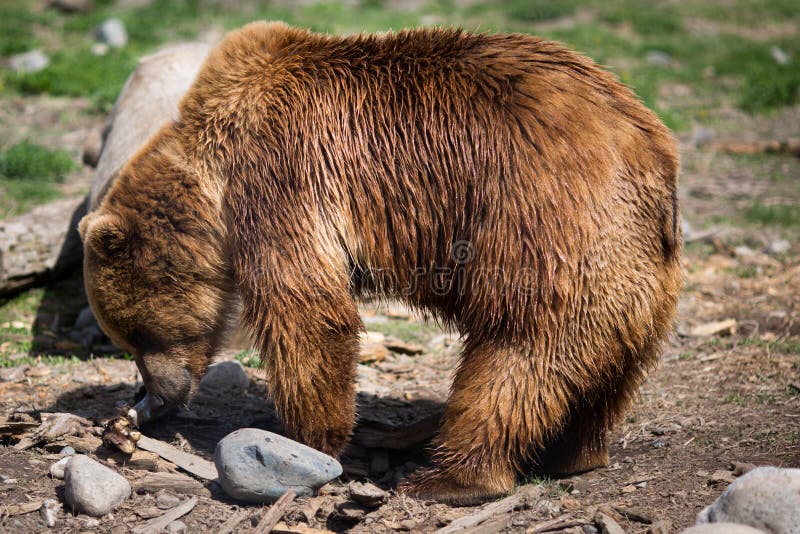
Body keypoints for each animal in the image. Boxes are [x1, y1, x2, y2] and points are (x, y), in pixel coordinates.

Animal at [79, 21, 682, 505]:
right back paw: (574, 453)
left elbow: (309, 311)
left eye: (134, 335)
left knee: (516, 353)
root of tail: (649, 152)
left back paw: (449, 477)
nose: (156, 396)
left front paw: (306, 439)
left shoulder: (282, 173)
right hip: (645, 274)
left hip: (541, 223)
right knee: (609, 369)